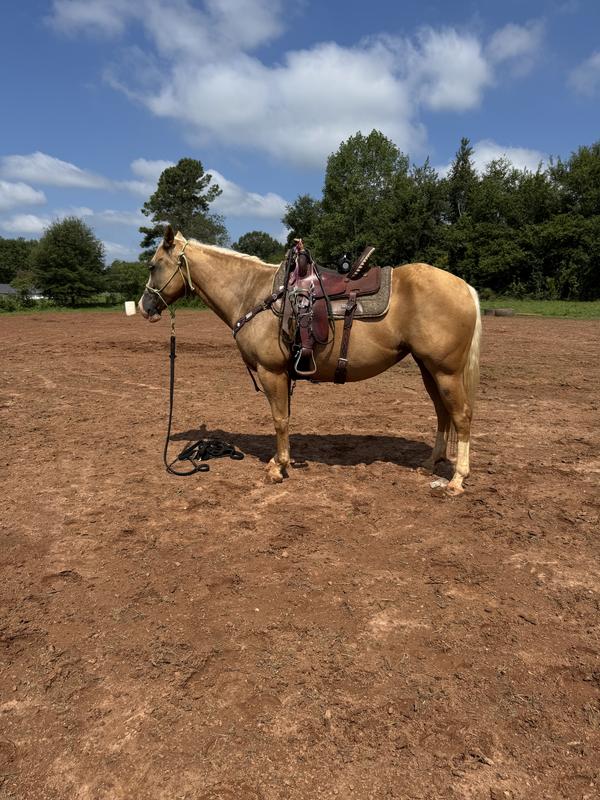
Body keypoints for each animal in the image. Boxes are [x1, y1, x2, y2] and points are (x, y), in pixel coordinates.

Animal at [138, 225, 481, 496]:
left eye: (154, 265)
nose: (144, 307)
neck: (253, 293)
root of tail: (465, 287)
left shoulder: (272, 372)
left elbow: (279, 419)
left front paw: (278, 468)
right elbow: (285, 418)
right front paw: (281, 461)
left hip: (446, 371)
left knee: (461, 416)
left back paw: (456, 480)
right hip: (429, 369)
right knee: (442, 413)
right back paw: (430, 463)